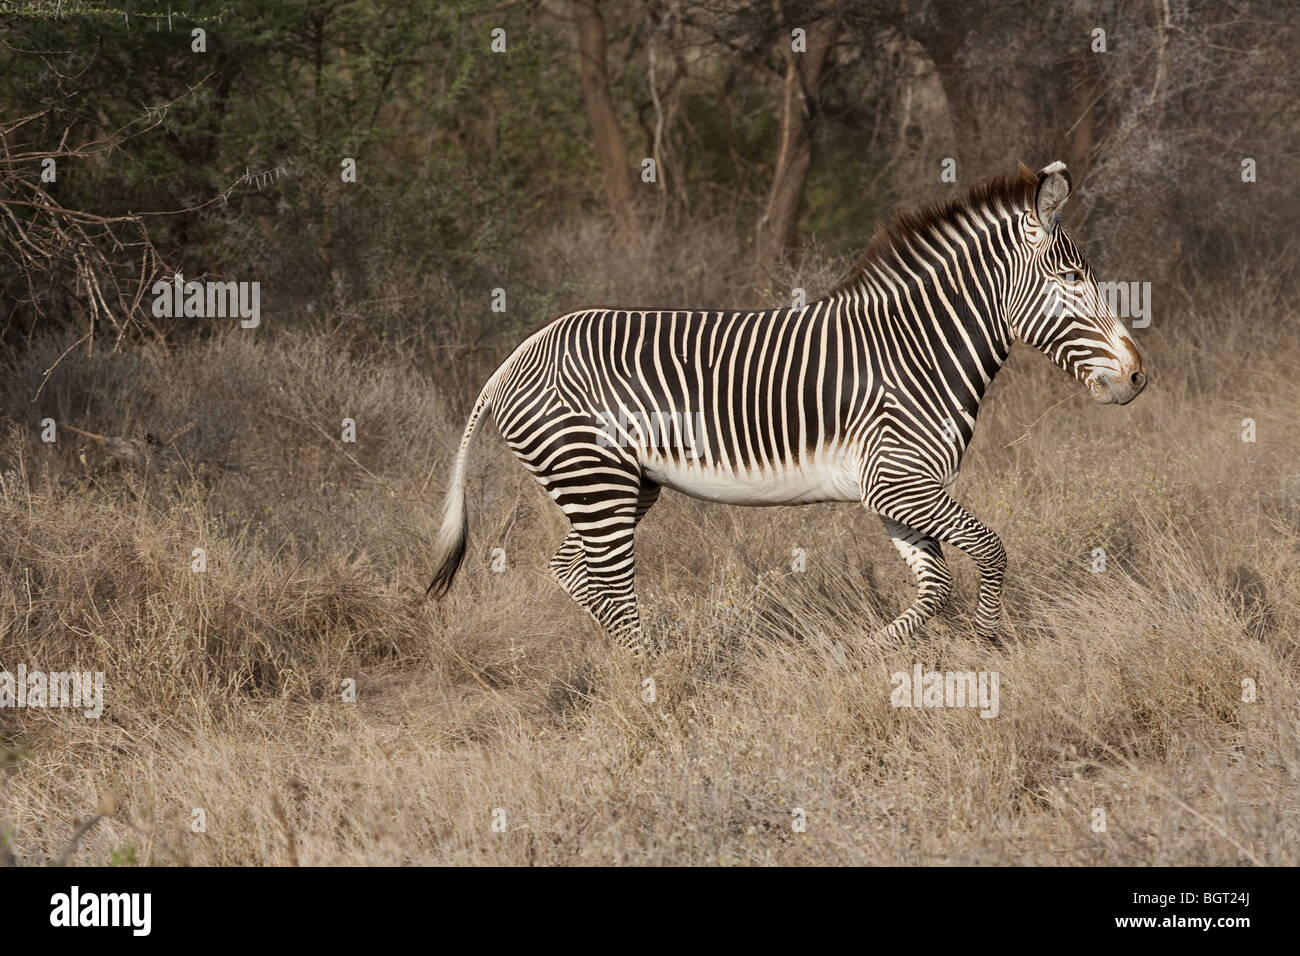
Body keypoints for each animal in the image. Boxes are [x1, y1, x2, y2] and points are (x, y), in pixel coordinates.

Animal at [427, 162, 1146, 654]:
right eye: (1072, 279)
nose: (1138, 377)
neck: (917, 347)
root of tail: (512, 359)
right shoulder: (899, 480)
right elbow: (990, 550)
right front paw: (993, 643)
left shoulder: (893, 490)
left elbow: (936, 585)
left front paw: (868, 654)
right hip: (594, 478)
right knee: (607, 583)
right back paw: (660, 679)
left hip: (624, 484)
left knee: (573, 572)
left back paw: (647, 662)